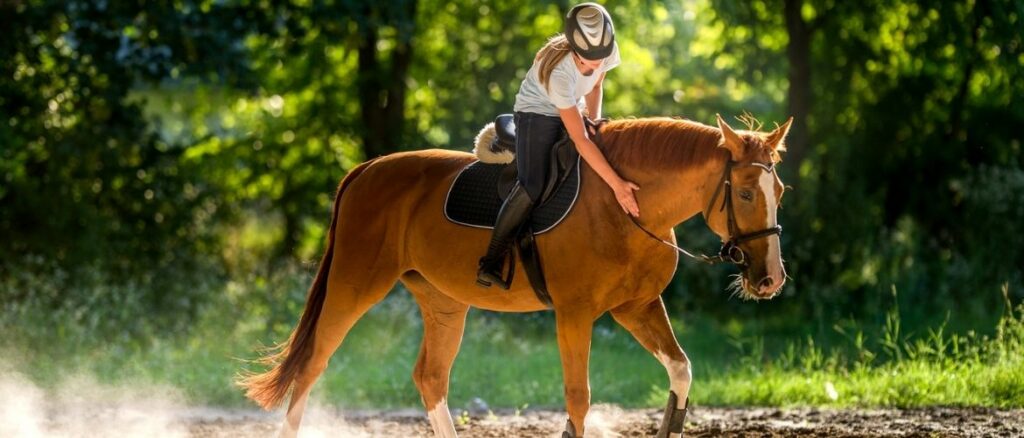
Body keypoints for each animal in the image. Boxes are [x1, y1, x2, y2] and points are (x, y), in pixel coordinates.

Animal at [238, 113, 791, 438]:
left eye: (779, 191)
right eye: (745, 193)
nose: (769, 280)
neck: (625, 206)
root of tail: (366, 170)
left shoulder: (636, 307)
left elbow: (680, 371)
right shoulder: (574, 315)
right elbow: (578, 398)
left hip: (443, 302)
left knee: (430, 377)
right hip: (355, 285)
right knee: (313, 364)